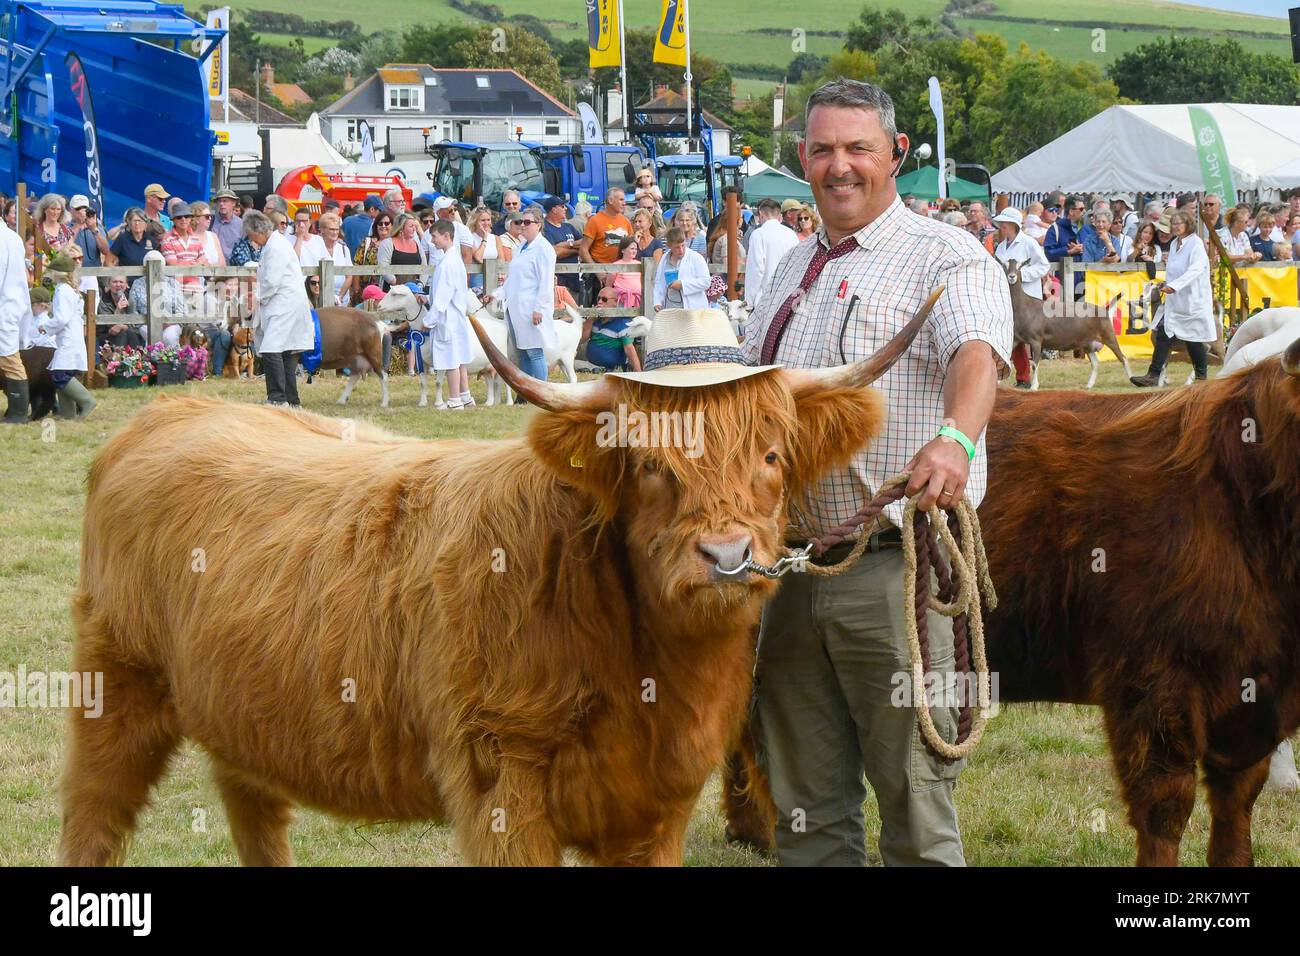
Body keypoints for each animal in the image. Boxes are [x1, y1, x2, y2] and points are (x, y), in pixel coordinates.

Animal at [57, 306, 928, 867]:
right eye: (648, 464)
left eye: (774, 455)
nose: (725, 555)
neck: (646, 666)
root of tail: (173, 409)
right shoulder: (501, 782)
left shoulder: (658, 803)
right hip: (116, 688)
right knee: (93, 818)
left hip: (241, 712)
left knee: (253, 809)